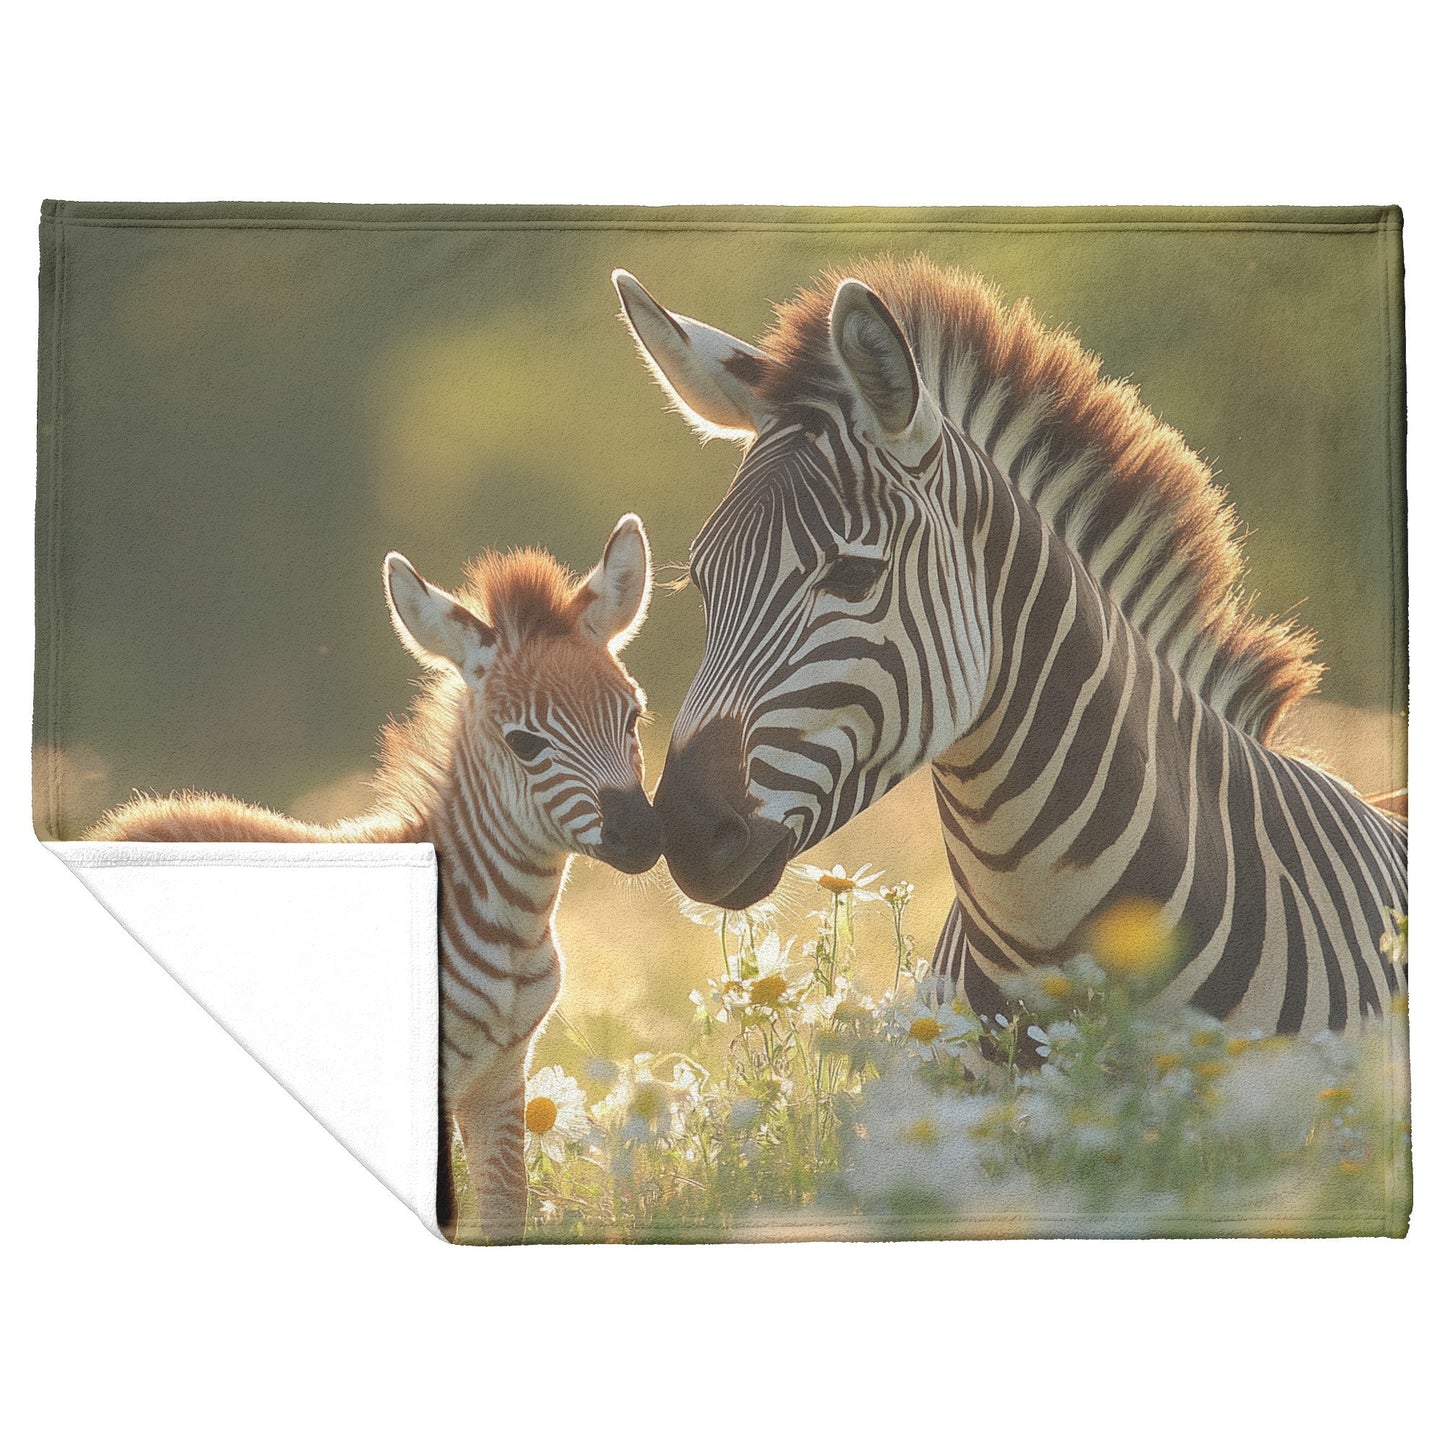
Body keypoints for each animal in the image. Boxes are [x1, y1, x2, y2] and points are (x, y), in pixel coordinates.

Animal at [91, 516, 662, 1241]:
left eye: (633, 715)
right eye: (524, 743)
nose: (644, 838)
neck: (513, 927)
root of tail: (115, 827)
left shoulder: (501, 1081)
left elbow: (506, 1212)